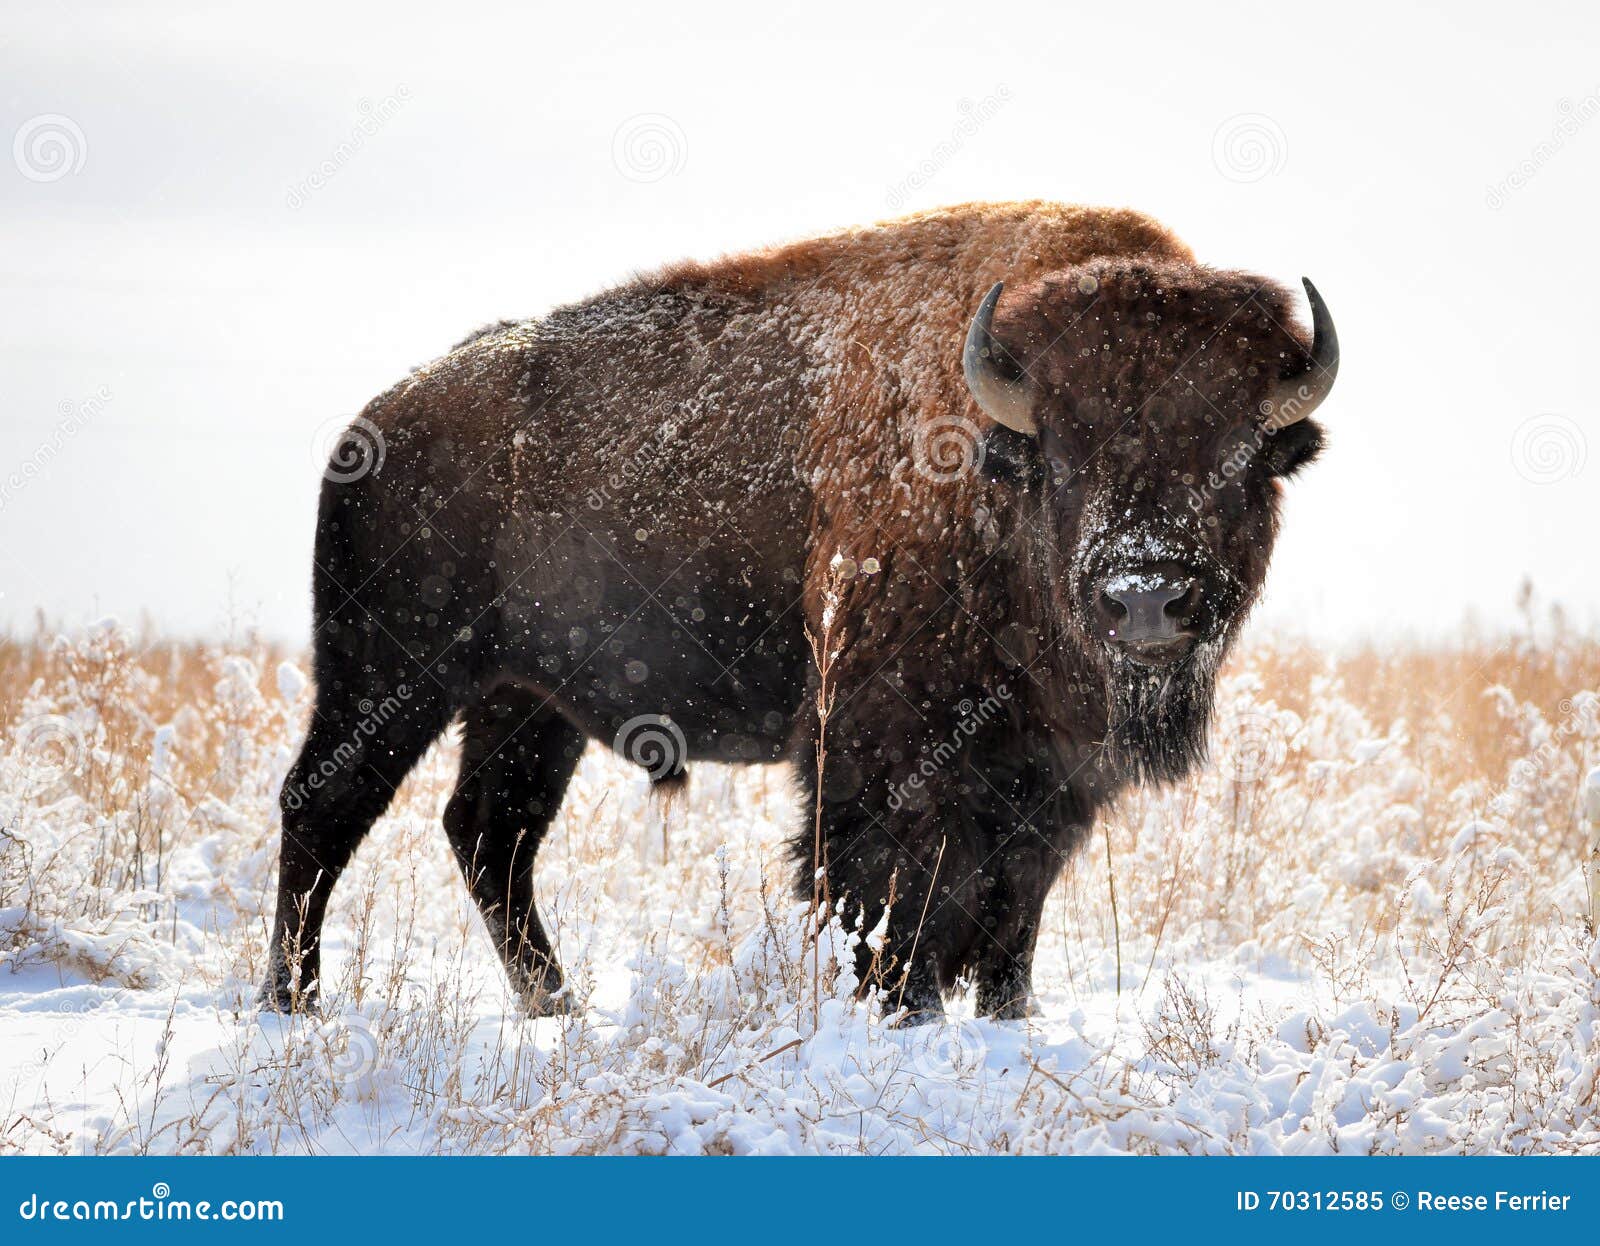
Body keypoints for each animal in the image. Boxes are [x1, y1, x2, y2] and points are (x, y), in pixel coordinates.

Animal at [262, 200, 1336, 1020]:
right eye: (1064, 454)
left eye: (1242, 455)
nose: (1146, 597)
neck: (991, 459)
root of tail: (377, 423)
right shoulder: (879, 752)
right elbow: (888, 893)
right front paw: (893, 1011)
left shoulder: (1053, 781)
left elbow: (1013, 908)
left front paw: (1010, 1017)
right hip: (390, 673)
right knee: (325, 804)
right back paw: (294, 1004)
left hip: (525, 702)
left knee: (491, 831)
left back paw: (552, 1006)